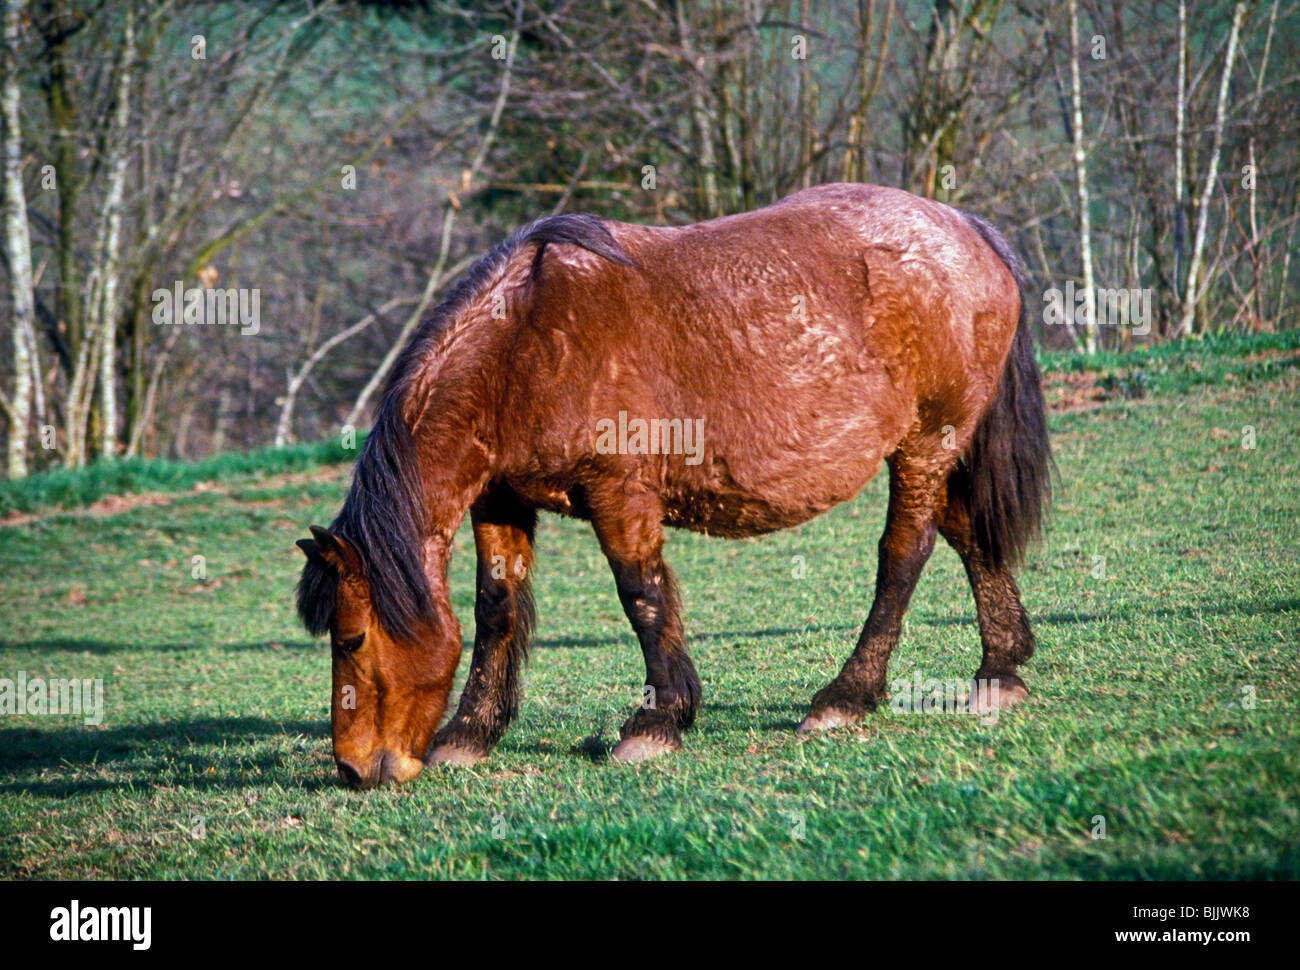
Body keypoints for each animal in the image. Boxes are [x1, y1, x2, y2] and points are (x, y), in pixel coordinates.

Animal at [296, 182, 1052, 789]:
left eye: (351, 640)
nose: (353, 769)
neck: (526, 343)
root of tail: (965, 227)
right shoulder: (501, 501)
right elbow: (495, 608)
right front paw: (470, 733)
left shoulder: (618, 494)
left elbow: (642, 596)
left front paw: (657, 723)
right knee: (967, 534)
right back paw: (998, 672)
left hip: (926, 444)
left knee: (905, 554)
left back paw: (845, 696)